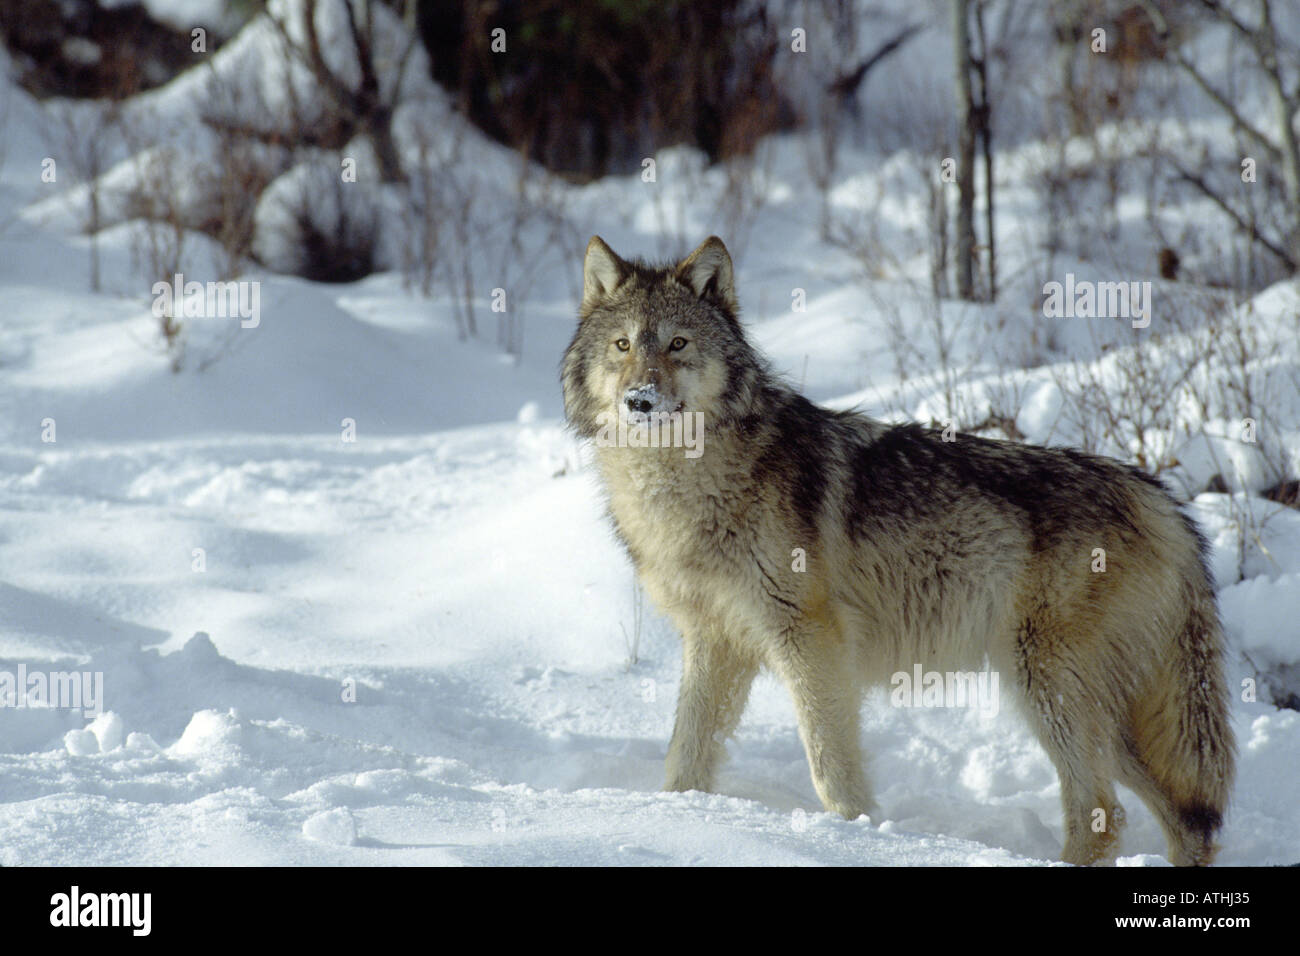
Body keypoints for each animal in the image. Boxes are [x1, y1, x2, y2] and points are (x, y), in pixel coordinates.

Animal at [561, 235, 1236, 866]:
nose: (640, 400)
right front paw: (676, 817)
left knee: (1104, 815)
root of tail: (1161, 500)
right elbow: (685, 758)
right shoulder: (715, 640)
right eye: (623, 345)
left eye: (677, 344)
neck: (687, 482)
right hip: (1109, 718)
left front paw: (854, 835)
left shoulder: (811, 641)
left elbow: (831, 770)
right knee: (1183, 819)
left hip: (1048, 686)